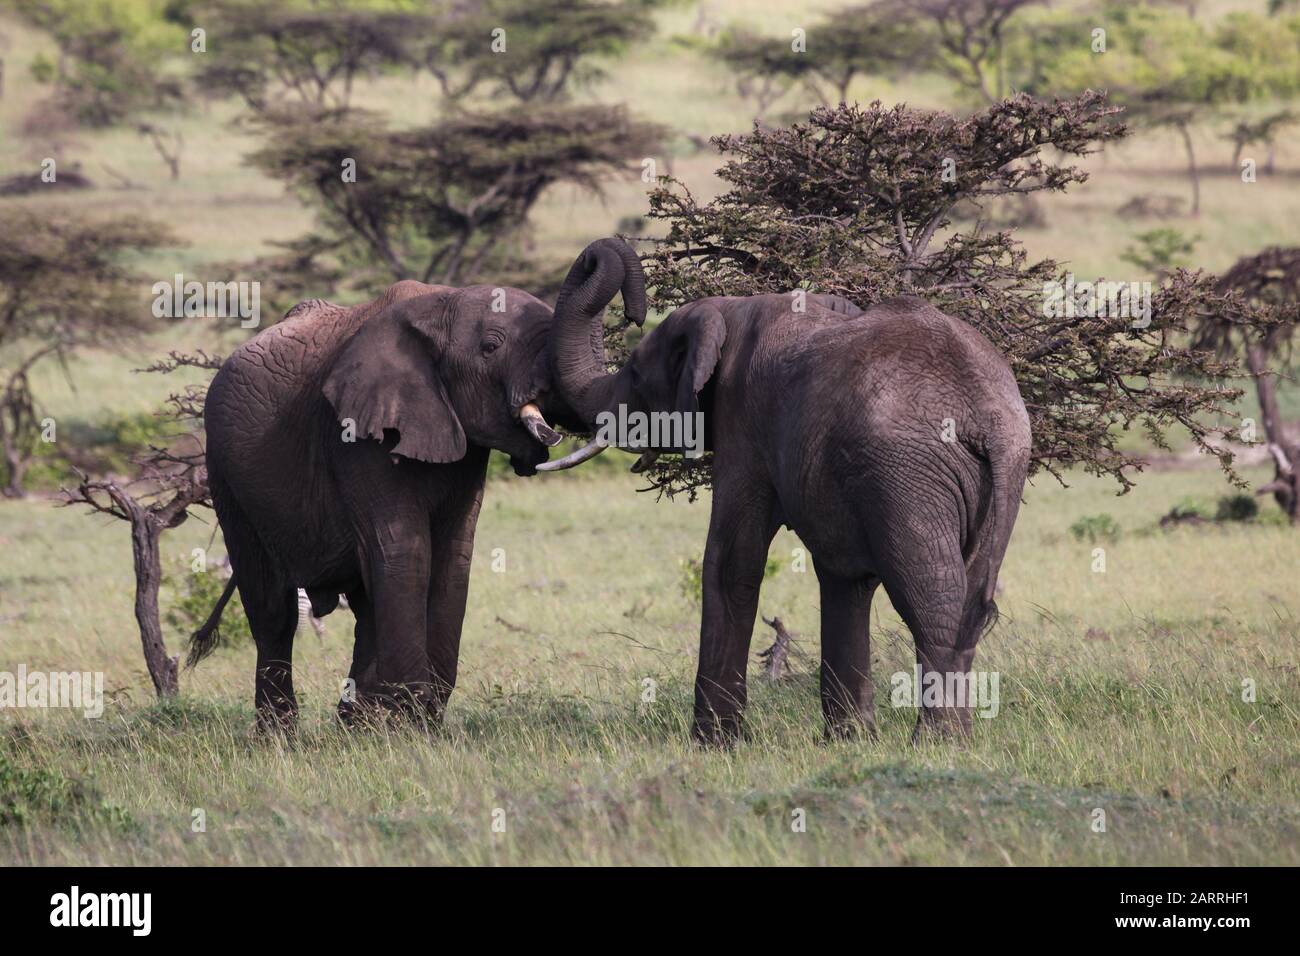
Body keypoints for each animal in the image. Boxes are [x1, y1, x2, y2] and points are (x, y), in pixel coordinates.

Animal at [190, 273, 643, 730]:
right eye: (490, 347)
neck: (440, 305)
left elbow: (452, 557)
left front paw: (416, 723)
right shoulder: (355, 434)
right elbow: (403, 551)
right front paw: (406, 726)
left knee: (365, 602)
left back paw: (353, 725)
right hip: (226, 474)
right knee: (272, 609)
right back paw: (282, 735)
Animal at [541, 239, 1032, 744]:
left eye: (637, 375)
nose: (634, 312)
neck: (730, 310)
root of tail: (986, 415)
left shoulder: (742, 422)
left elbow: (732, 563)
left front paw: (715, 744)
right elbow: (843, 578)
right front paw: (850, 741)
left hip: (910, 472)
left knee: (934, 597)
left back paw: (936, 744)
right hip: (995, 472)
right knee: (970, 597)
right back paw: (954, 739)